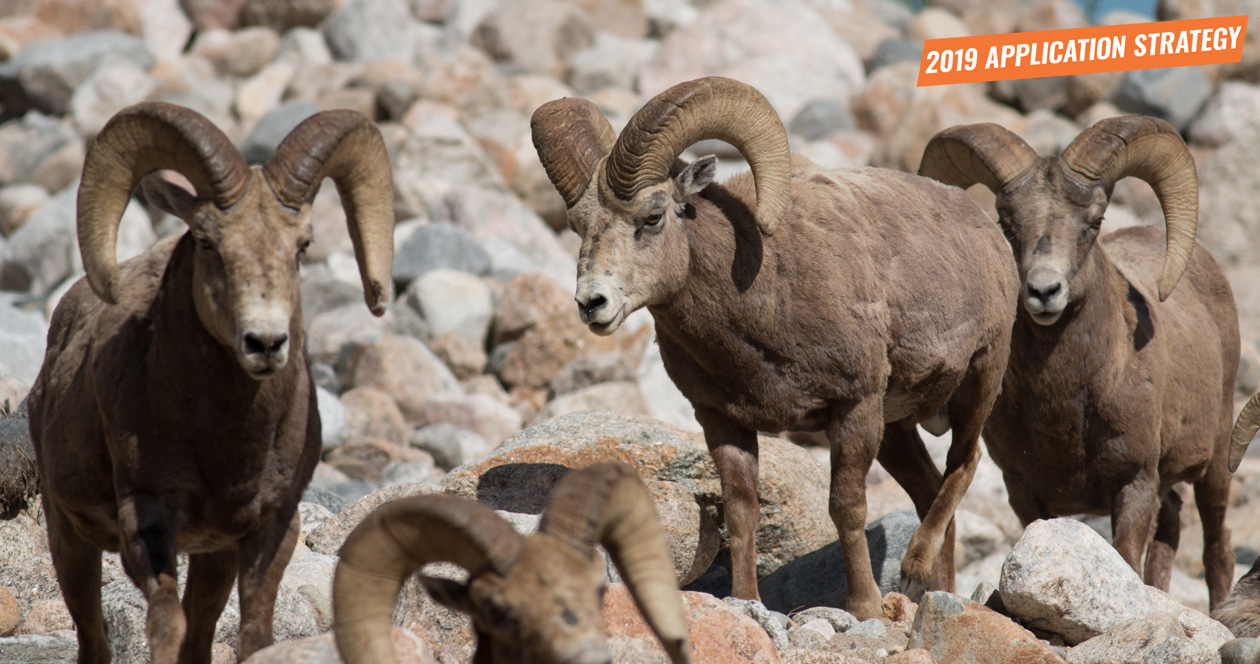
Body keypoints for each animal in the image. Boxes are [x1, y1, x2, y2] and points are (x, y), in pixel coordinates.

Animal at [26, 101, 395, 664]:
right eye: (206, 241)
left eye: (302, 246)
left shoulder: (271, 527)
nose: (264, 343)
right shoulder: (147, 519)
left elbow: (253, 635)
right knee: (94, 634)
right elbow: (166, 626)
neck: (226, 448)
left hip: (213, 556)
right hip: (68, 535)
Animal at [530, 76, 1020, 619]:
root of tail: (983, 227)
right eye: (578, 226)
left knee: (964, 464)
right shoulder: (723, 420)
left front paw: (865, 608)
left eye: (653, 217)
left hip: (978, 380)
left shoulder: (854, 407)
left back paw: (913, 569)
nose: (592, 303)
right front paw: (746, 602)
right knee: (931, 492)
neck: (762, 293)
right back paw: (938, 593)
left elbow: (845, 507)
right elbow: (742, 513)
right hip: (896, 429)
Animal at [918, 116, 1240, 608]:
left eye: (1095, 221)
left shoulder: (1133, 484)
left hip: (1216, 464)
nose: (1044, 291)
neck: (1065, 399)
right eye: (1006, 223)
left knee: (1217, 548)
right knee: (1171, 529)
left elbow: (1127, 559)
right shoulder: (1024, 490)